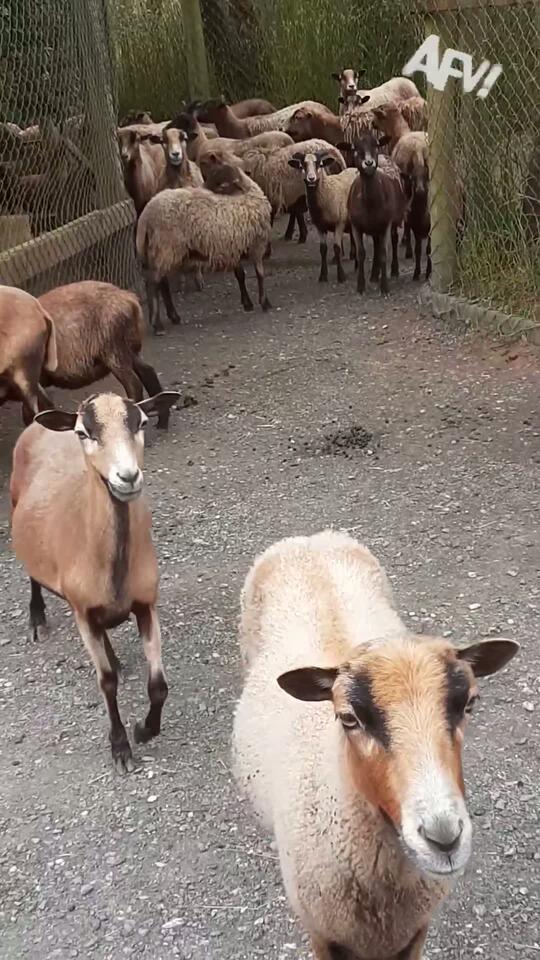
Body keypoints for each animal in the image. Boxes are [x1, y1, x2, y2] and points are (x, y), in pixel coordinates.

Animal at [10, 390, 180, 773]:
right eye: (83, 433)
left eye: (141, 422)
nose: (128, 477)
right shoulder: (83, 613)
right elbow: (106, 683)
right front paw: (120, 748)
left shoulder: (146, 604)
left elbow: (158, 685)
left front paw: (144, 730)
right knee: (32, 576)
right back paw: (37, 619)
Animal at [233, 529, 519, 960]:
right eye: (348, 718)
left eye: (469, 703)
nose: (444, 839)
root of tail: (310, 538)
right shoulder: (322, 933)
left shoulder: (416, 930)